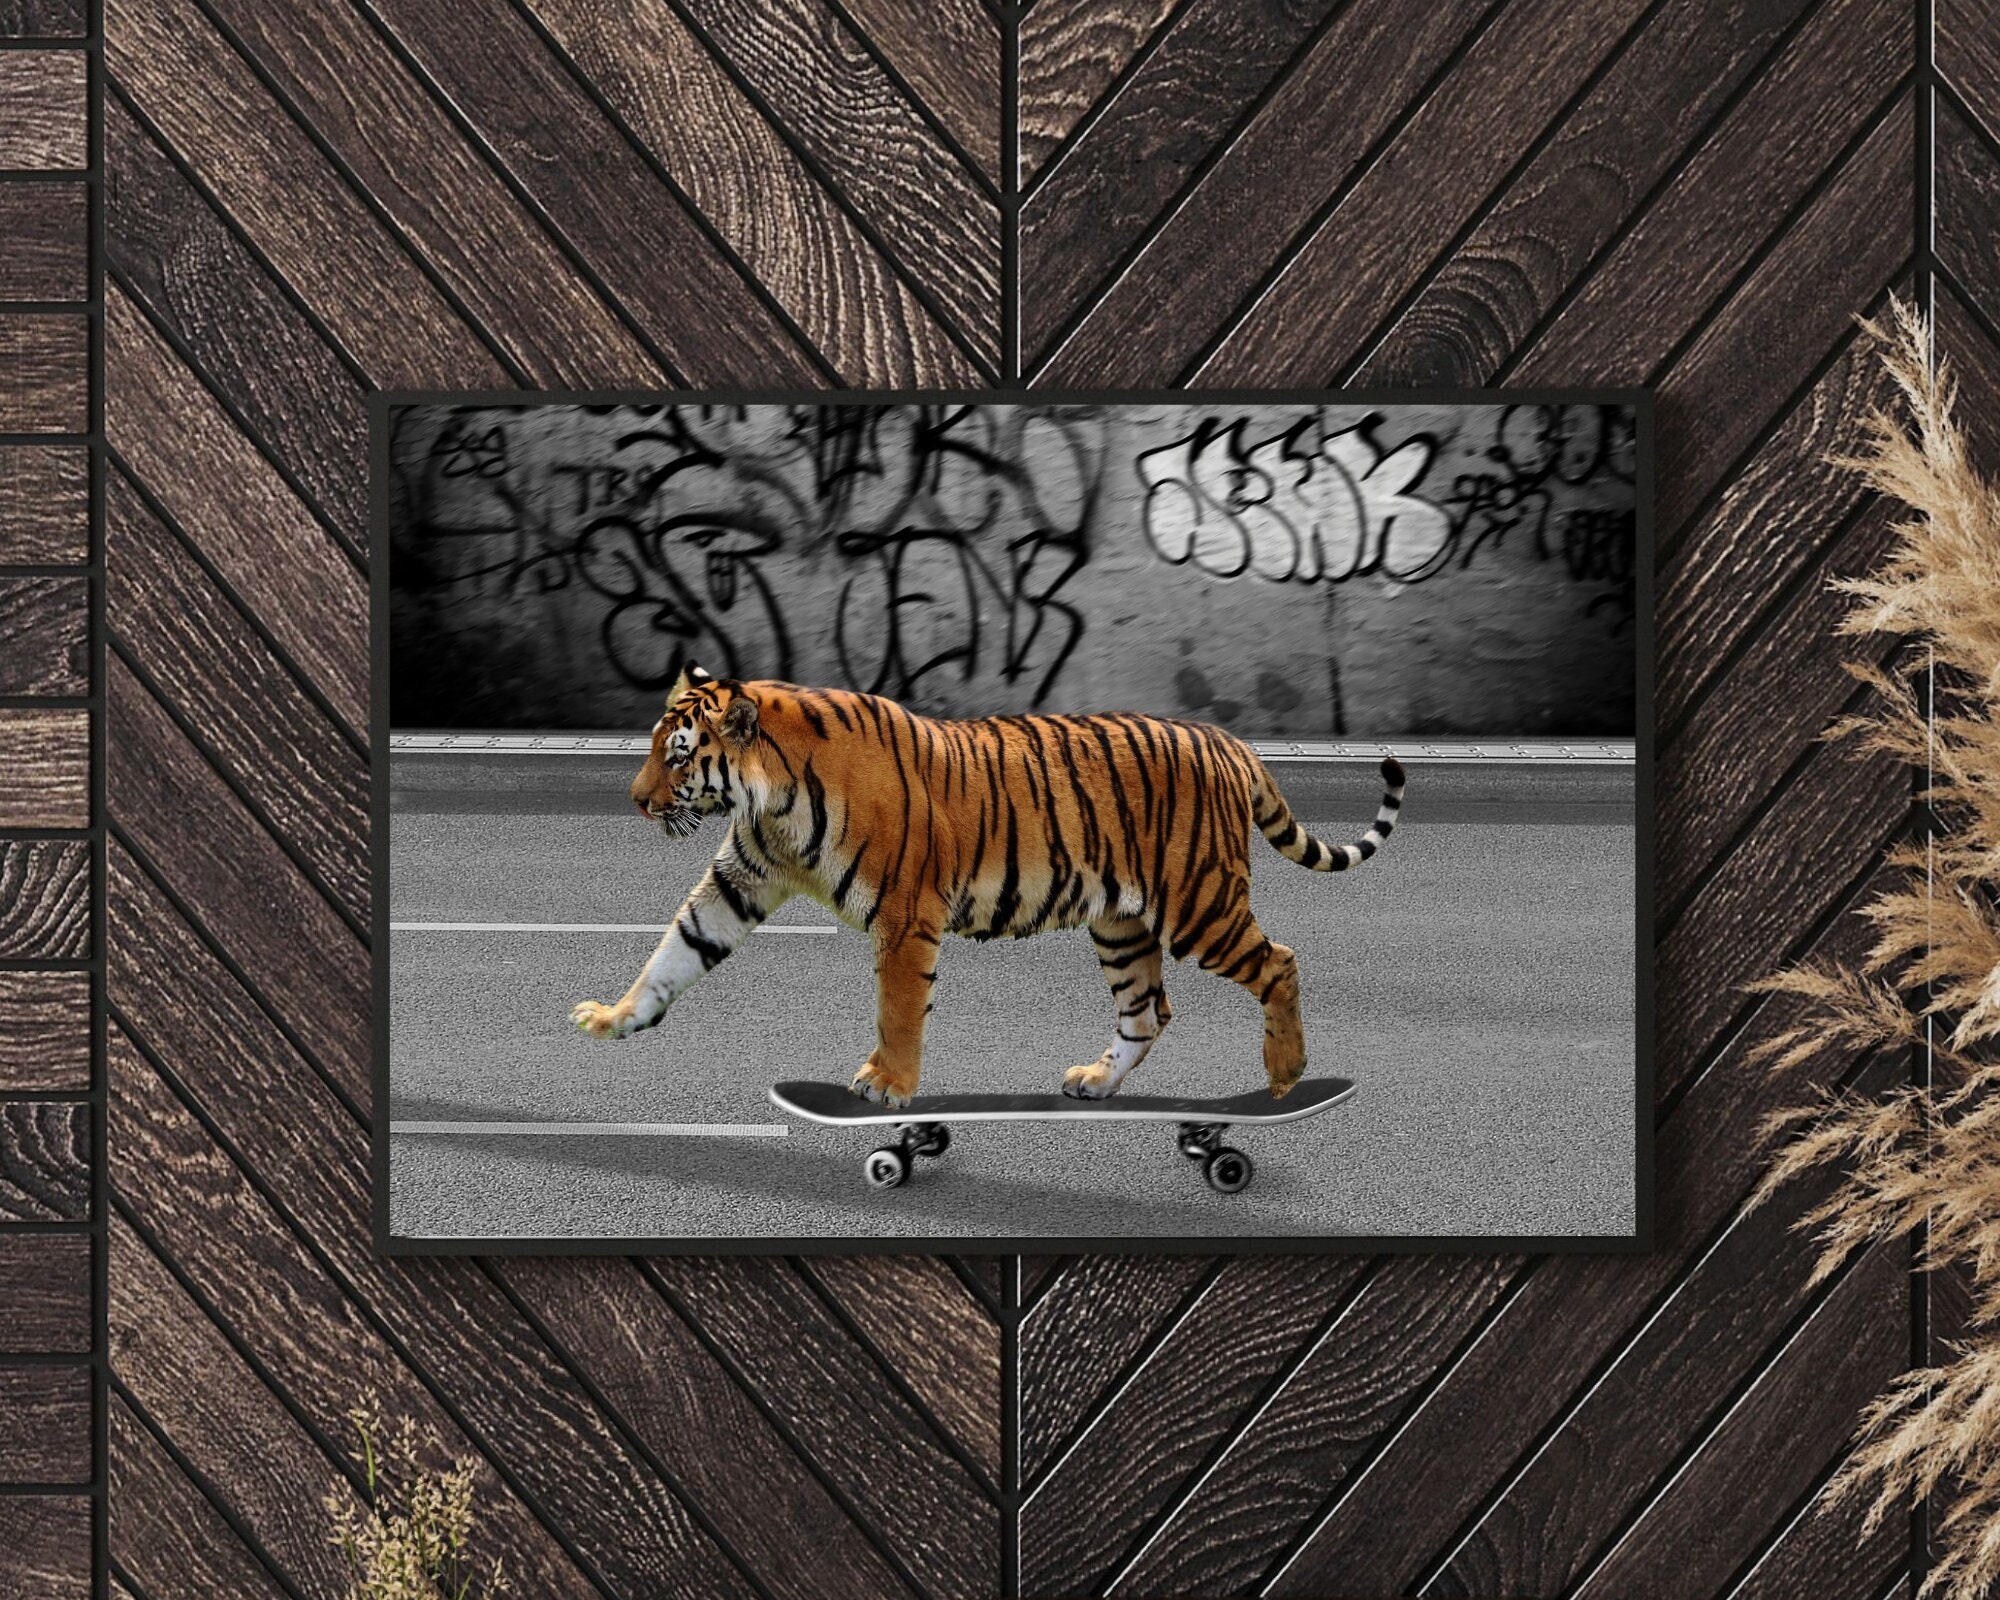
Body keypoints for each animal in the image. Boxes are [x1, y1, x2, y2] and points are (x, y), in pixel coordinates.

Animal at [570, 664, 1405, 1108]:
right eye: (656, 747)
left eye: (678, 757)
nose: (635, 800)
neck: (770, 802)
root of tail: (1229, 741)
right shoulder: (738, 880)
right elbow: (671, 955)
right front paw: (611, 1019)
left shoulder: (905, 915)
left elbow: (899, 1010)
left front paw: (887, 1085)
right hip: (1121, 924)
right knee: (1148, 1009)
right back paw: (1094, 1082)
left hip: (1198, 904)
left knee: (1280, 962)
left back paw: (1285, 1075)